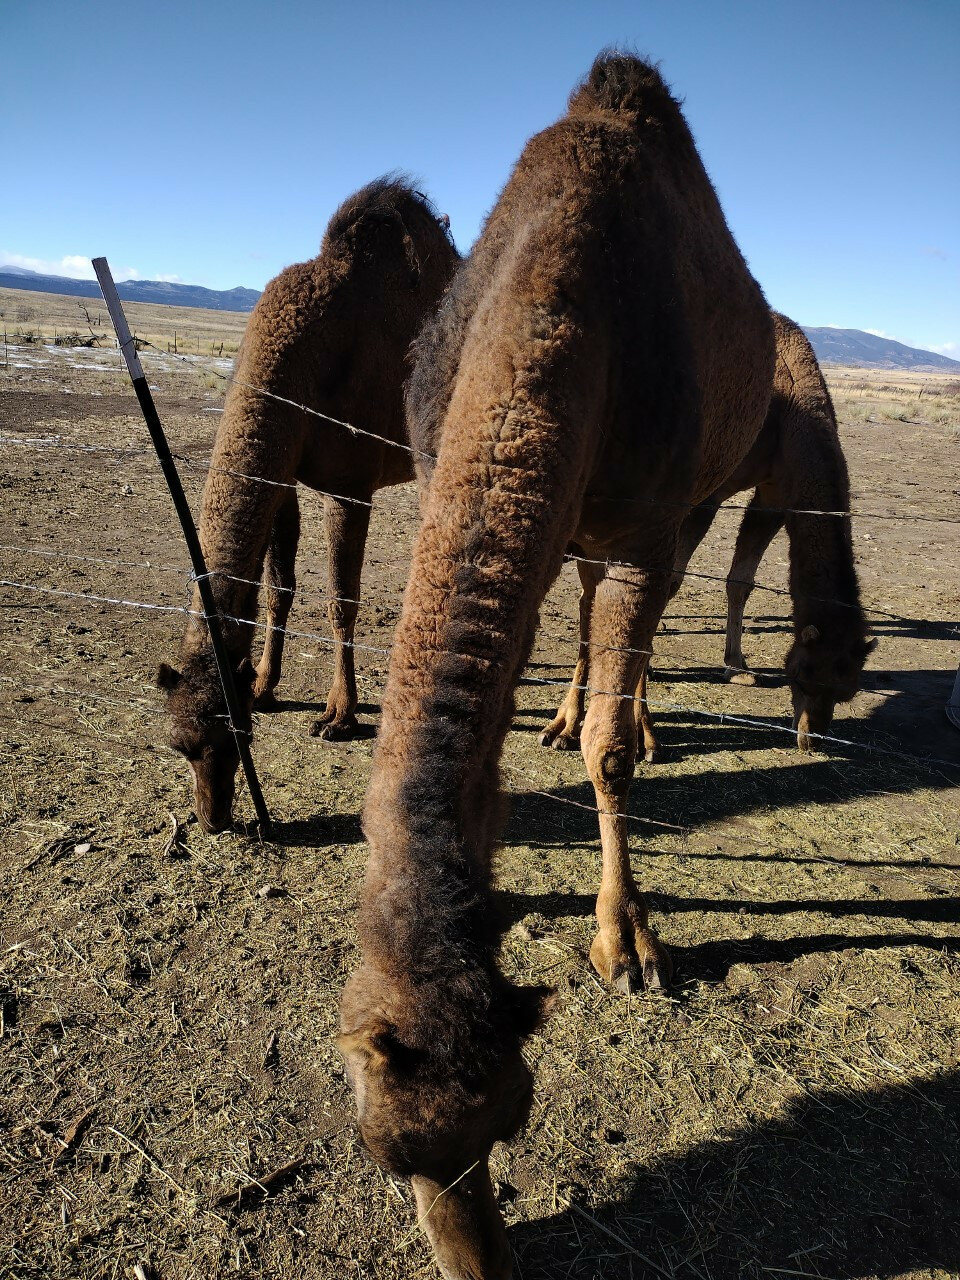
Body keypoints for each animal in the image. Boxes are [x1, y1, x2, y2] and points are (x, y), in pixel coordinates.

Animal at [156, 178, 458, 833]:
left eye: (237, 740)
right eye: (180, 744)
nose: (214, 818)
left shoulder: (351, 483)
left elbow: (342, 598)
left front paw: (339, 716)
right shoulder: (286, 476)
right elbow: (280, 587)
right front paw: (267, 684)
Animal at [340, 54, 776, 1280]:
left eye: (514, 1117)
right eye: (386, 1152)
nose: (478, 1264)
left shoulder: (647, 525)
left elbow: (610, 756)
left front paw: (625, 944)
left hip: (698, 496)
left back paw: (639, 721)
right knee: (576, 620)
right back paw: (561, 709)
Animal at [540, 313, 876, 759]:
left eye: (847, 690)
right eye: (802, 675)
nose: (814, 739)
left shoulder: (774, 490)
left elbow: (740, 580)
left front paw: (737, 665)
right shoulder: (708, 495)